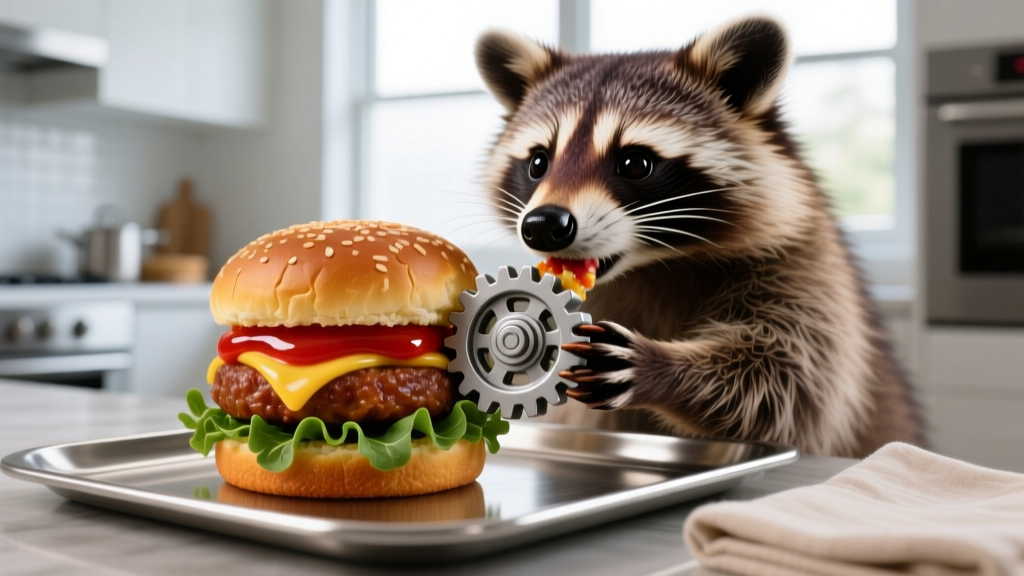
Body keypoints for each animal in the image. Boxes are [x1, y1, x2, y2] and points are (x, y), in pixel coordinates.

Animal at [473, 16, 923, 457]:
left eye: (635, 163)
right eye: (538, 162)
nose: (543, 225)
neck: (654, 264)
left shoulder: (808, 268)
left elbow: (788, 379)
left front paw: (659, 366)